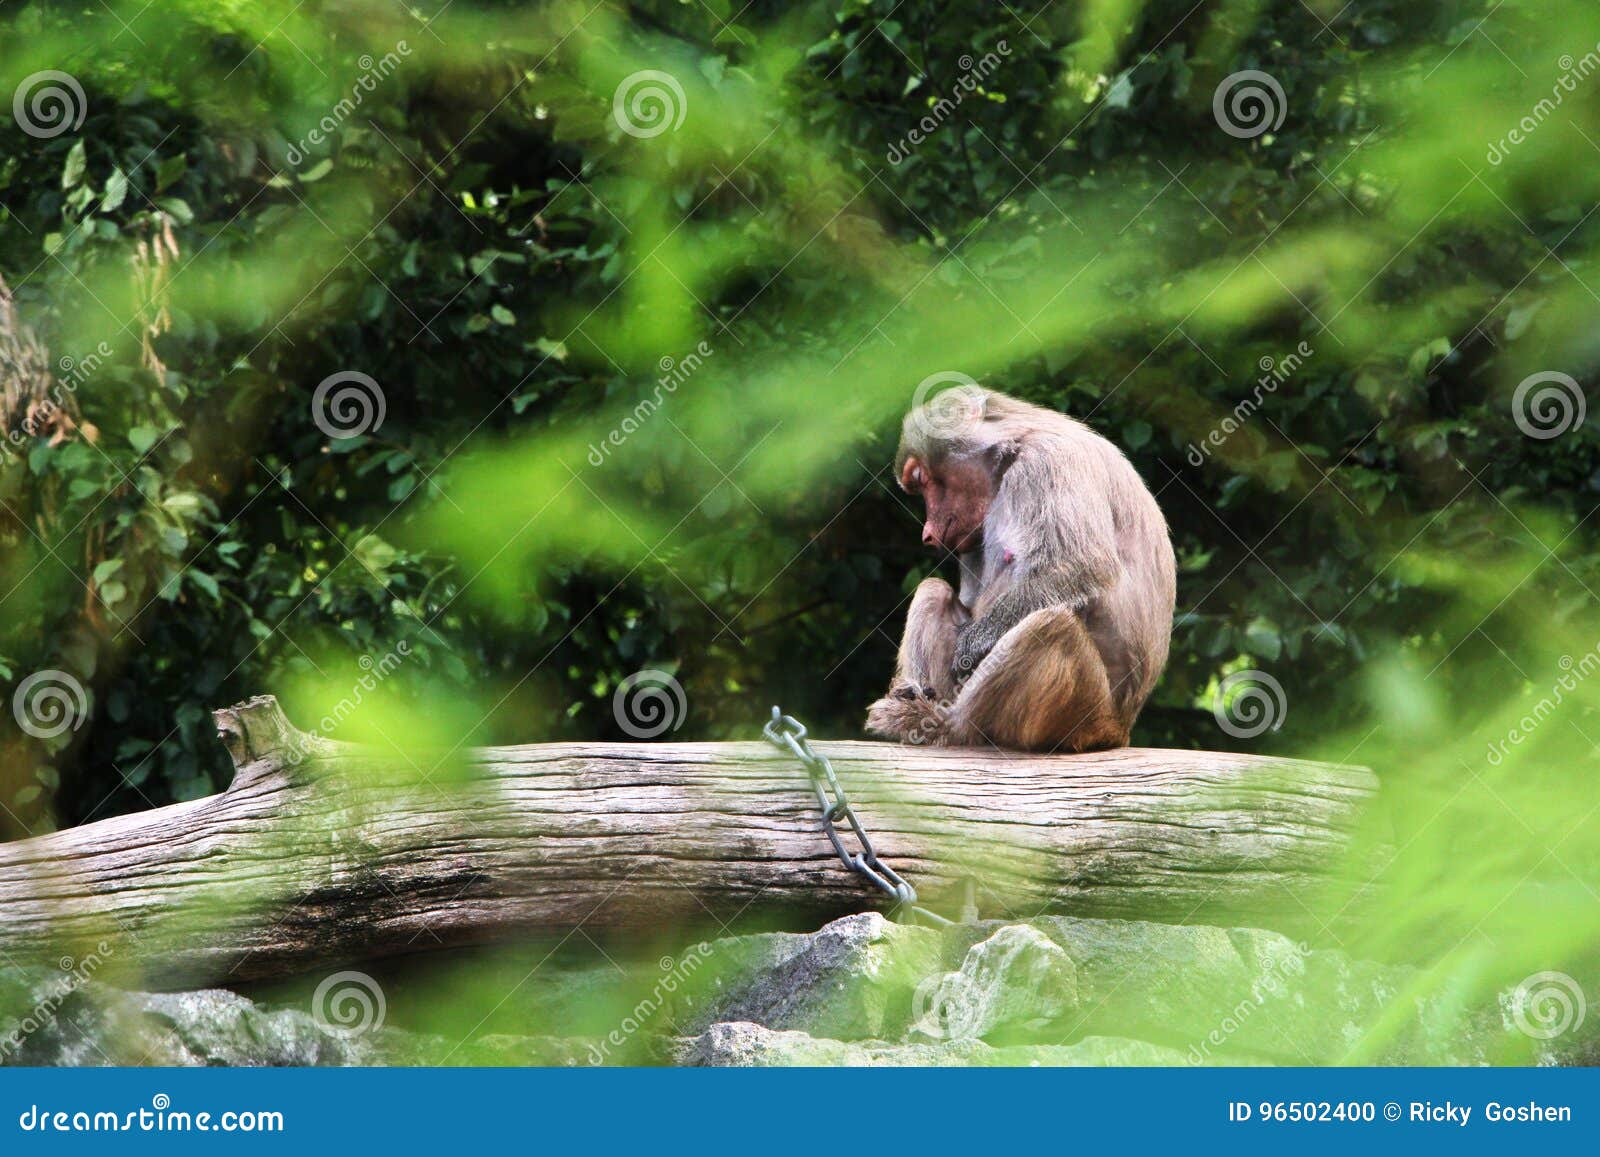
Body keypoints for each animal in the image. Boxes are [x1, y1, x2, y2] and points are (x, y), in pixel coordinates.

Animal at [865, 387, 1175, 752]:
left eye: (920, 479)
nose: (928, 533)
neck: (1014, 449)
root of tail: (1118, 729)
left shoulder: (1047, 462)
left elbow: (1082, 564)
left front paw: (976, 641)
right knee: (934, 591)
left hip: (1081, 712)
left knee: (1052, 625)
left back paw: (946, 728)